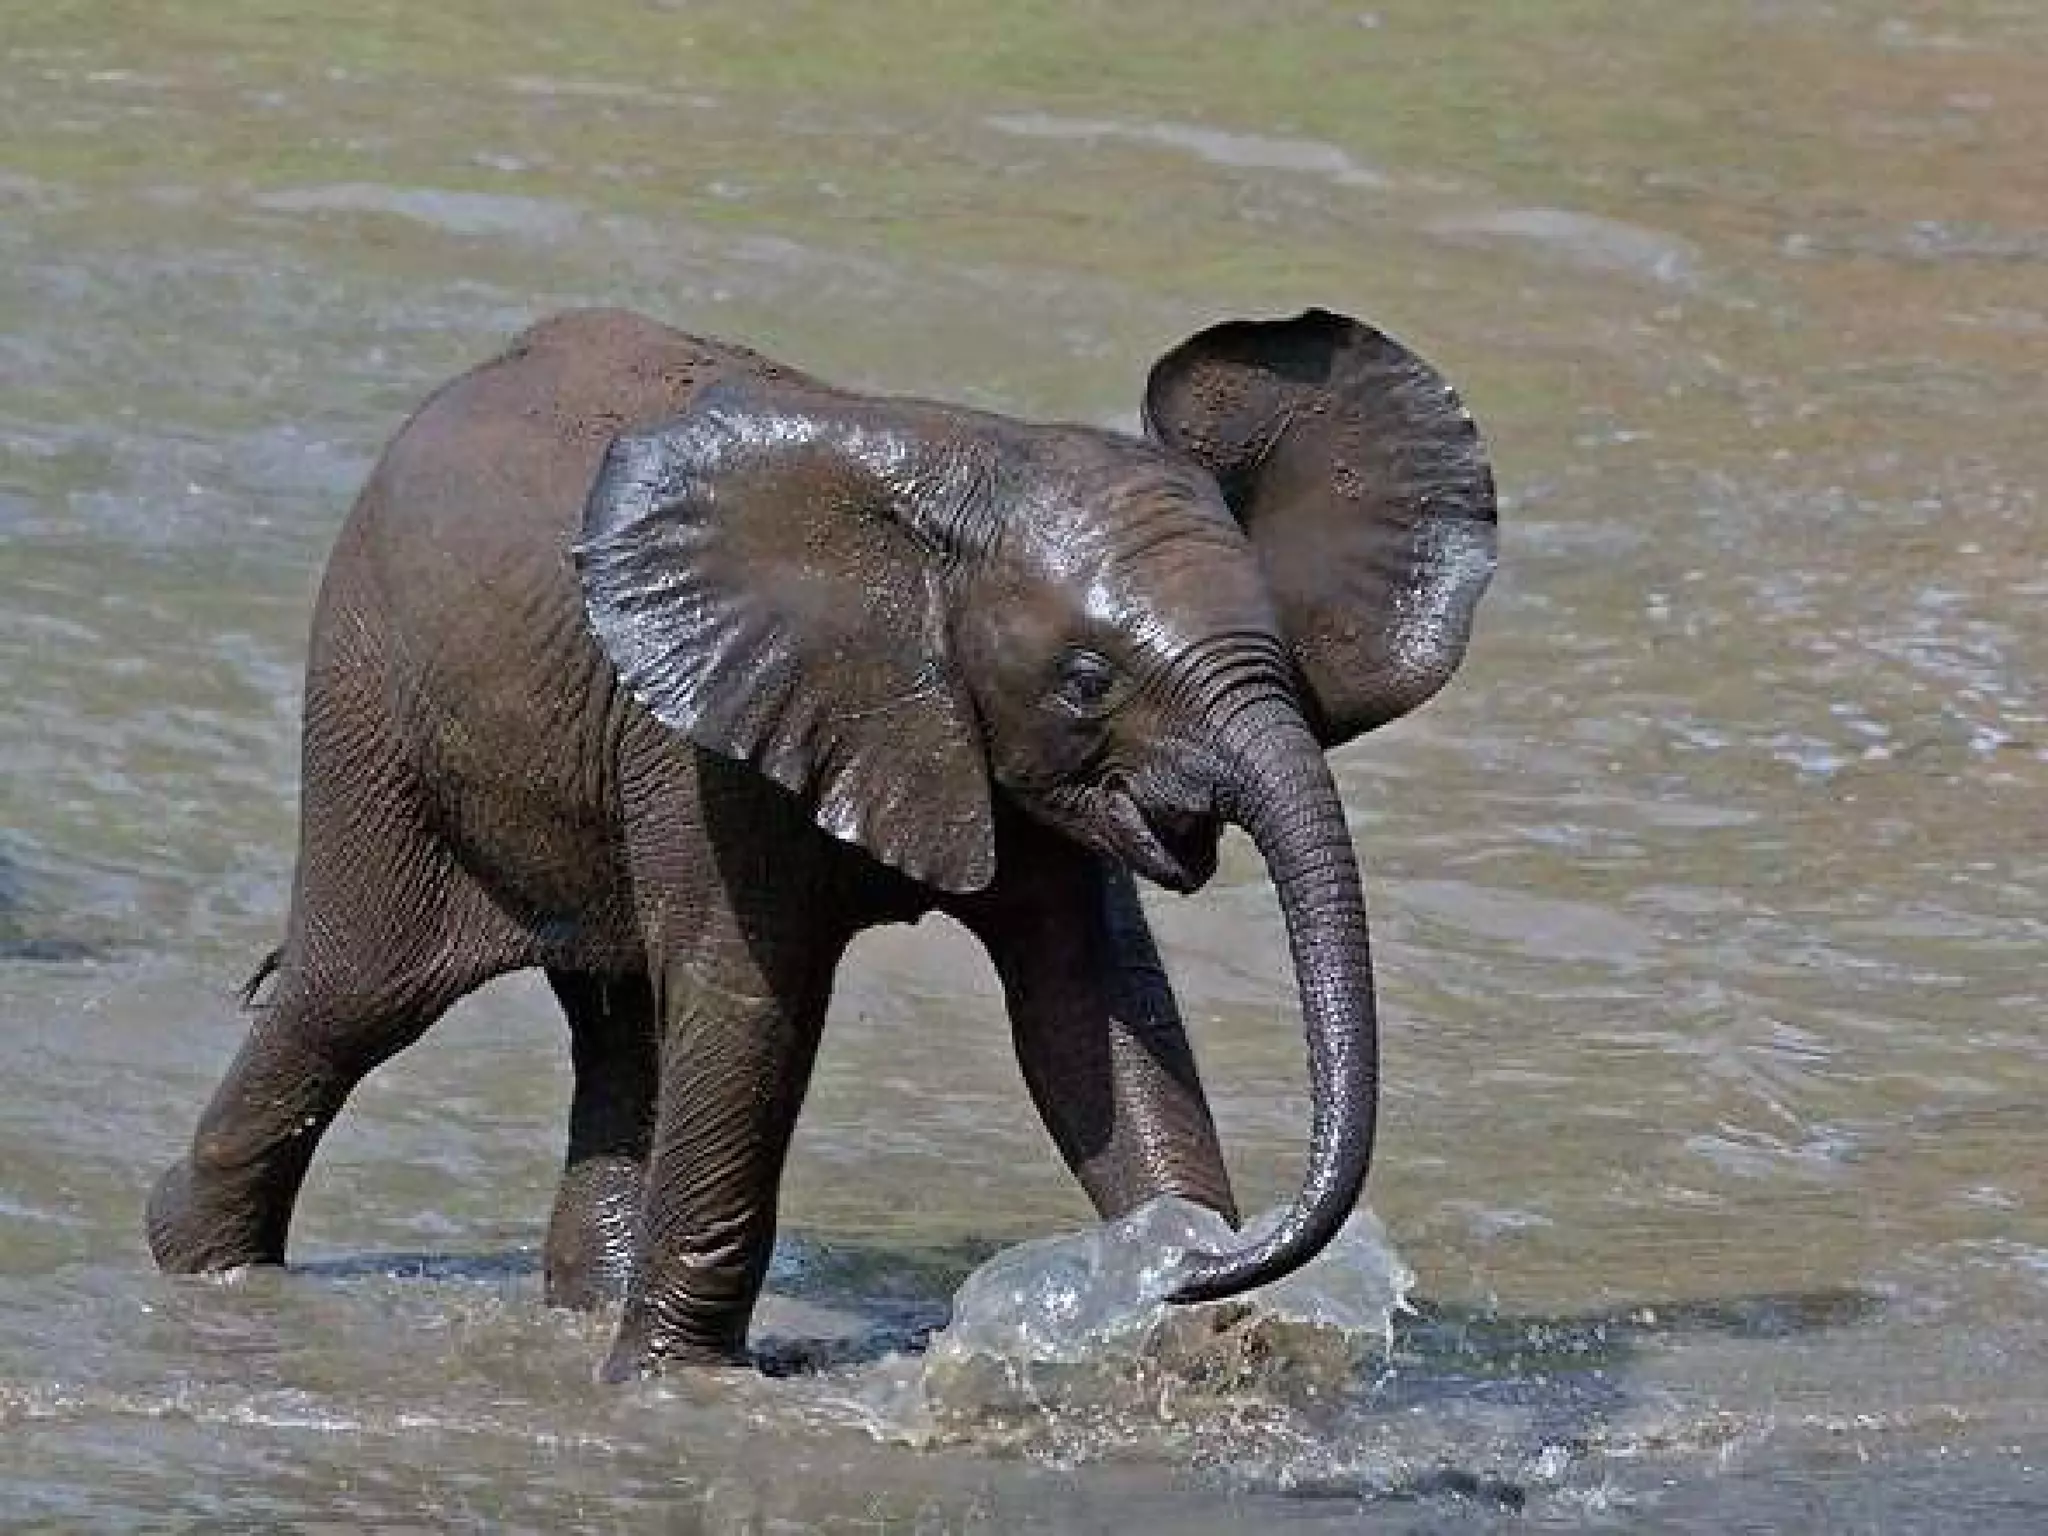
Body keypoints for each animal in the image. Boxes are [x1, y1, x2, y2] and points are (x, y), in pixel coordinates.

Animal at [146, 305, 1496, 1379]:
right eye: (1085, 682)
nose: (1207, 1265)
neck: (964, 486)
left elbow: (1091, 1014)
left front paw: (1199, 1325)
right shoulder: (707, 737)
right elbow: (752, 1009)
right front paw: (679, 1390)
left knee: (617, 1024)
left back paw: (574, 1309)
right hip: (374, 713)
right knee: (350, 998)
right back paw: (194, 1264)